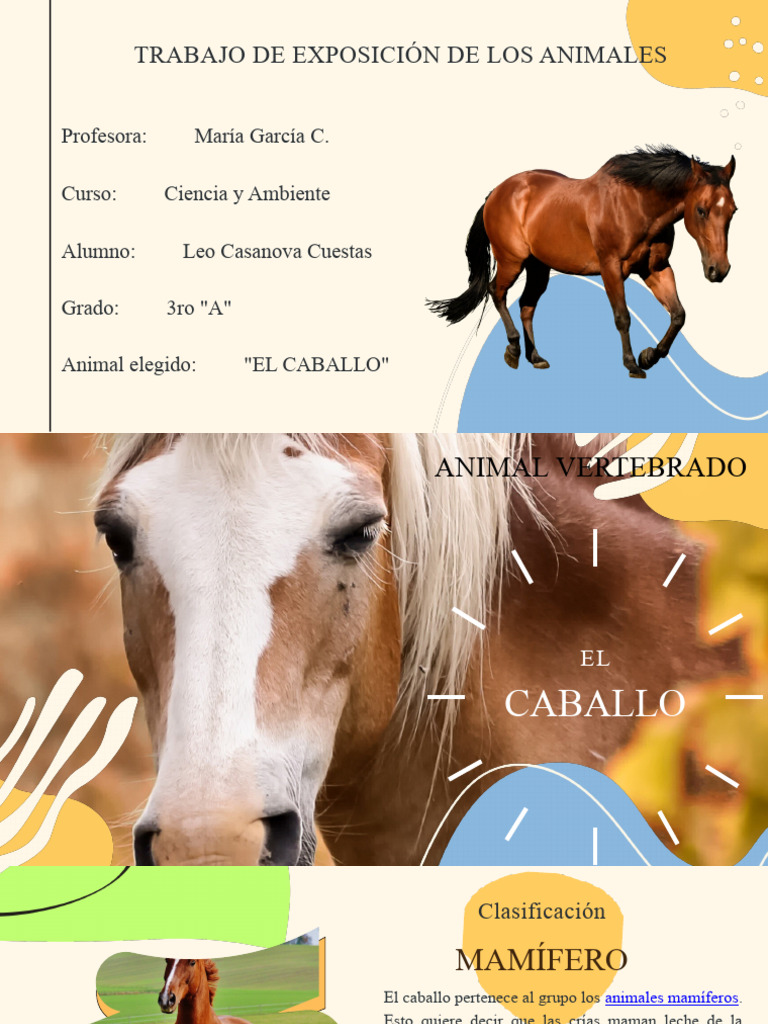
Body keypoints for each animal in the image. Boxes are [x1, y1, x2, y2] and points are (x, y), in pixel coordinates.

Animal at [428, 146, 736, 379]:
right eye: (701, 210)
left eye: (733, 210)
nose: (718, 270)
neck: (636, 204)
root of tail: (496, 192)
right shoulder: (611, 268)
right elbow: (622, 317)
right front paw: (632, 364)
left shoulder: (655, 269)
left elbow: (678, 315)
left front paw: (649, 355)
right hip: (511, 261)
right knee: (497, 292)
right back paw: (513, 350)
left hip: (538, 266)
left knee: (527, 305)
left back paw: (535, 357)